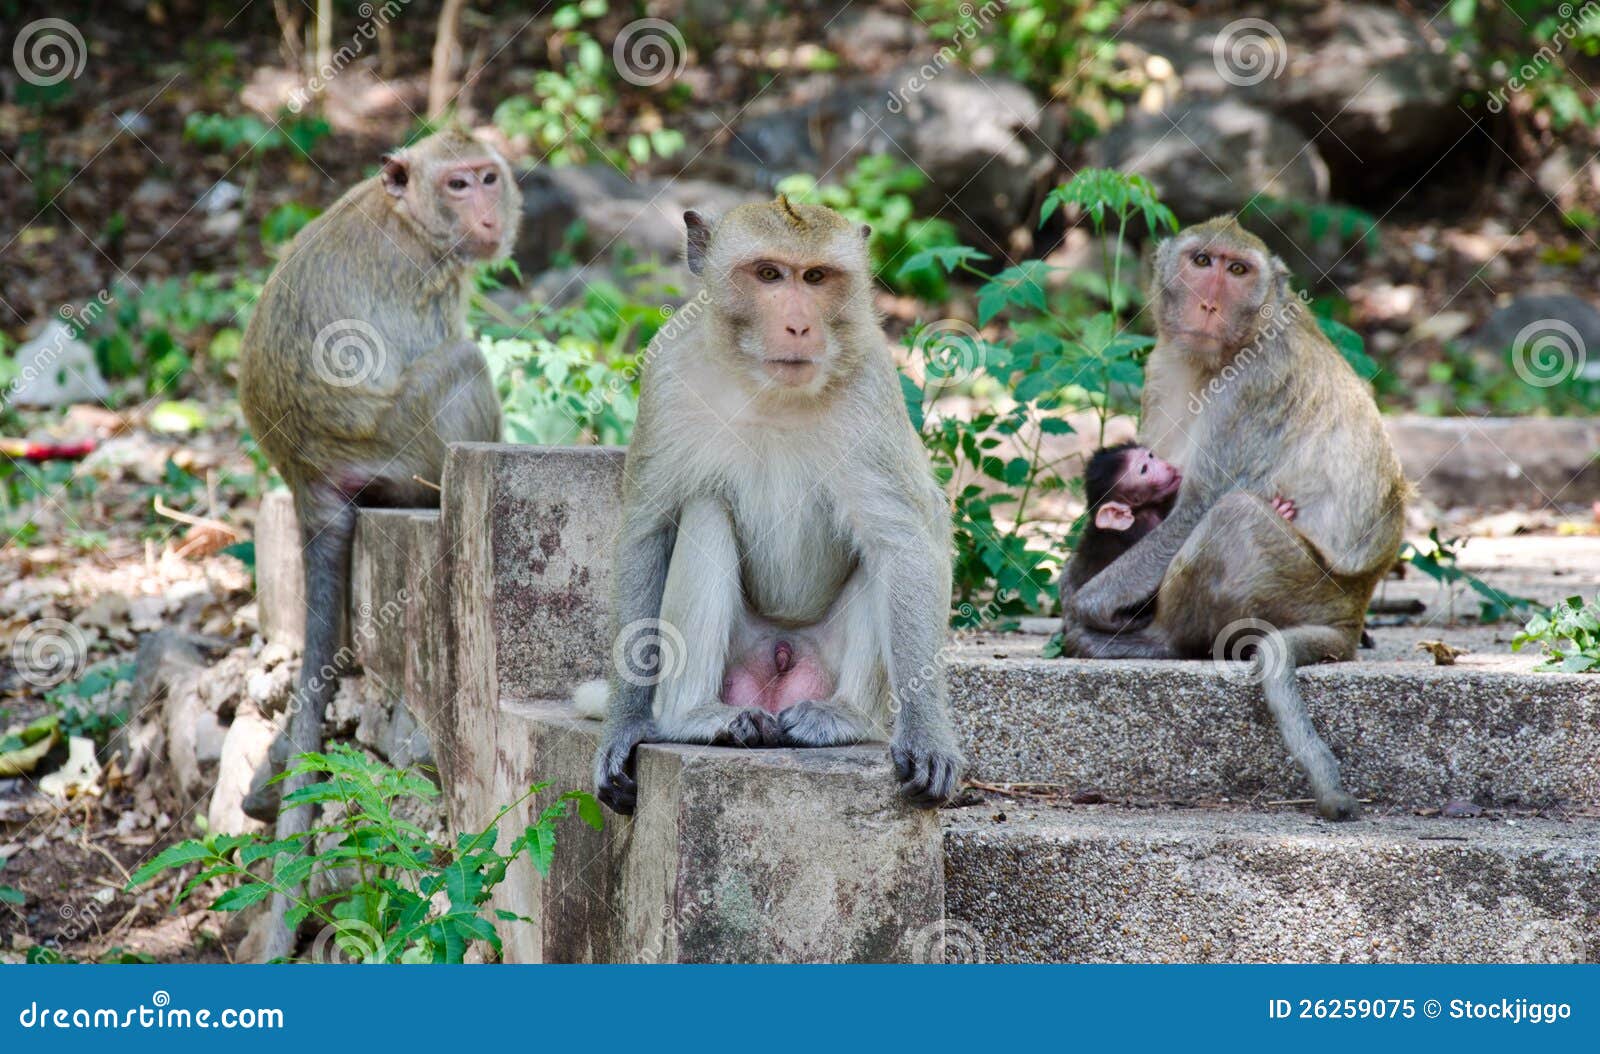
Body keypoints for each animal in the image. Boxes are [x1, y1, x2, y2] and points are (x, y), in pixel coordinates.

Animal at [236, 127, 519, 957]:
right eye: (458, 183)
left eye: (487, 176)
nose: (486, 207)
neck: (408, 217)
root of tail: (301, 471)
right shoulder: (426, 280)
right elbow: (447, 348)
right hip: (403, 445)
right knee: (461, 364)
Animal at [581, 196, 964, 815]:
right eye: (768, 274)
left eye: (816, 277)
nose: (800, 325)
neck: (766, 388)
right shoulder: (664, 377)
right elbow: (647, 532)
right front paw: (626, 723)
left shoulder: (873, 383)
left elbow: (907, 543)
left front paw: (928, 732)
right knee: (705, 510)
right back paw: (695, 717)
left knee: (877, 553)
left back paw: (842, 717)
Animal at [1058, 217, 1408, 822]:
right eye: (1203, 262)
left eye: (1238, 270)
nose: (1209, 303)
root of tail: (1353, 614)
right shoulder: (1162, 364)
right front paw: (1071, 585)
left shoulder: (1255, 382)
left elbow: (1200, 504)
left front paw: (1083, 607)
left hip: (1302, 587)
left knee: (1233, 514)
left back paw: (1153, 643)